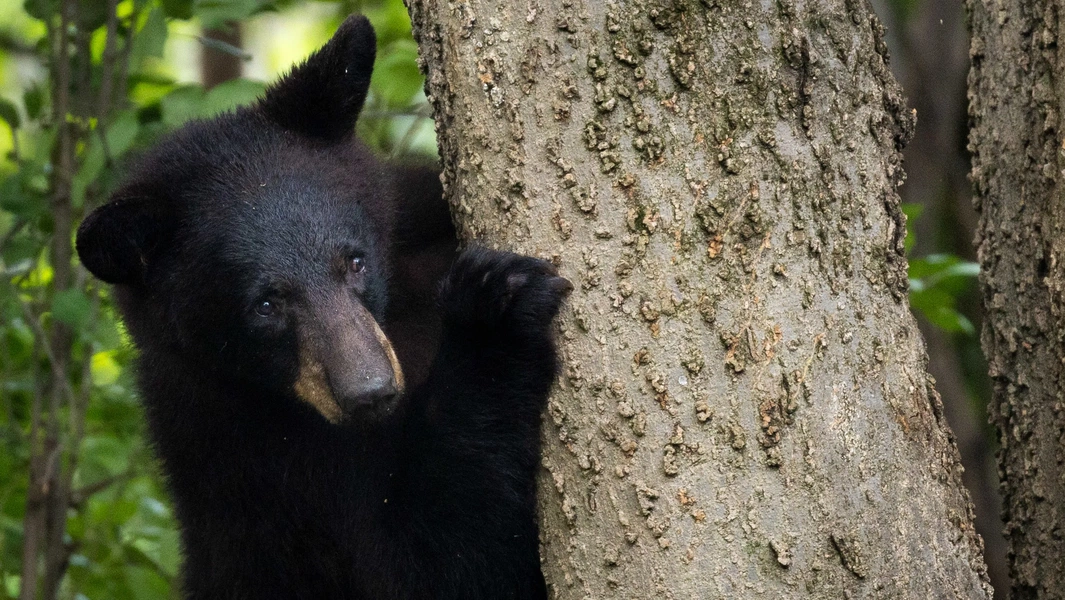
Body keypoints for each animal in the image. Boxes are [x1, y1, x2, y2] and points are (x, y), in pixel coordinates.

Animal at [75, 15, 568, 600]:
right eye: (266, 304)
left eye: (354, 261)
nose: (371, 392)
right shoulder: (254, 460)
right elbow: (439, 561)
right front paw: (493, 310)